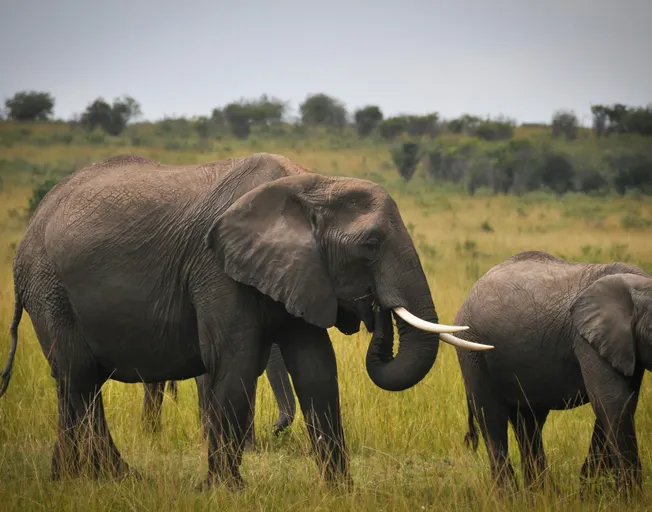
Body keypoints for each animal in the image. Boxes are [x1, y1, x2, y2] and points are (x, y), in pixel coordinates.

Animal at [454, 250, 652, 497]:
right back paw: (509, 497)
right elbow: (612, 402)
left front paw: (589, 493)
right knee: (491, 416)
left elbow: (620, 404)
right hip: (472, 349)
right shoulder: (587, 339)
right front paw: (630, 499)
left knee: (529, 421)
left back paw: (539, 495)